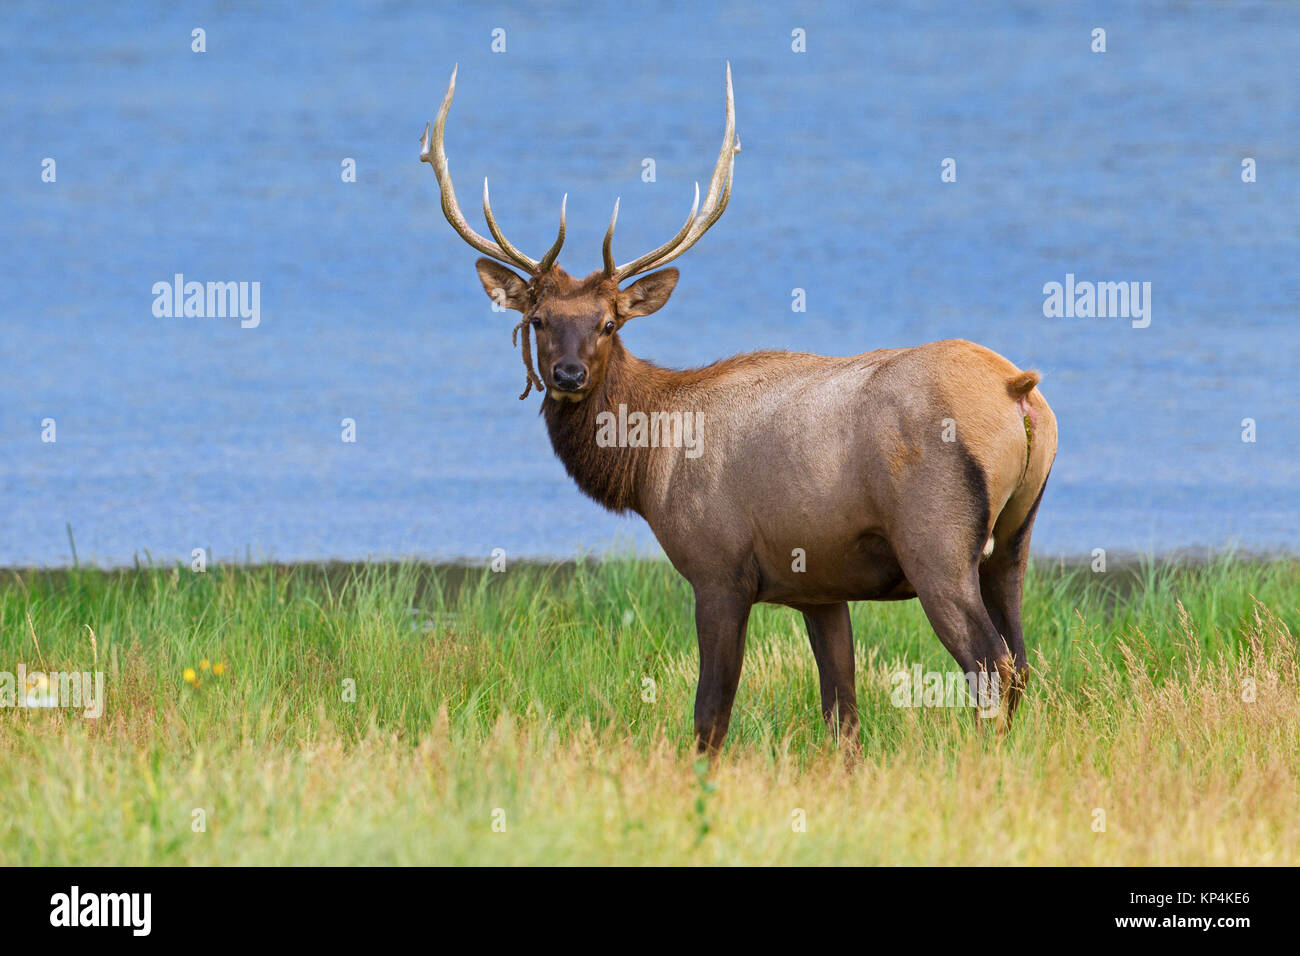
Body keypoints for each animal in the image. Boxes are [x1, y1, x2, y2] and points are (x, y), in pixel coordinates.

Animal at [419, 64, 1058, 753]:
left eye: (610, 323)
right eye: (538, 320)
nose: (567, 374)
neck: (649, 462)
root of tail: (1018, 389)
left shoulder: (718, 569)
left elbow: (710, 714)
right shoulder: (818, 587)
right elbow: (842, 715)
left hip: (937, 543)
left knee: (991, 664)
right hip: (1014, 540)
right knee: (1024, 660)